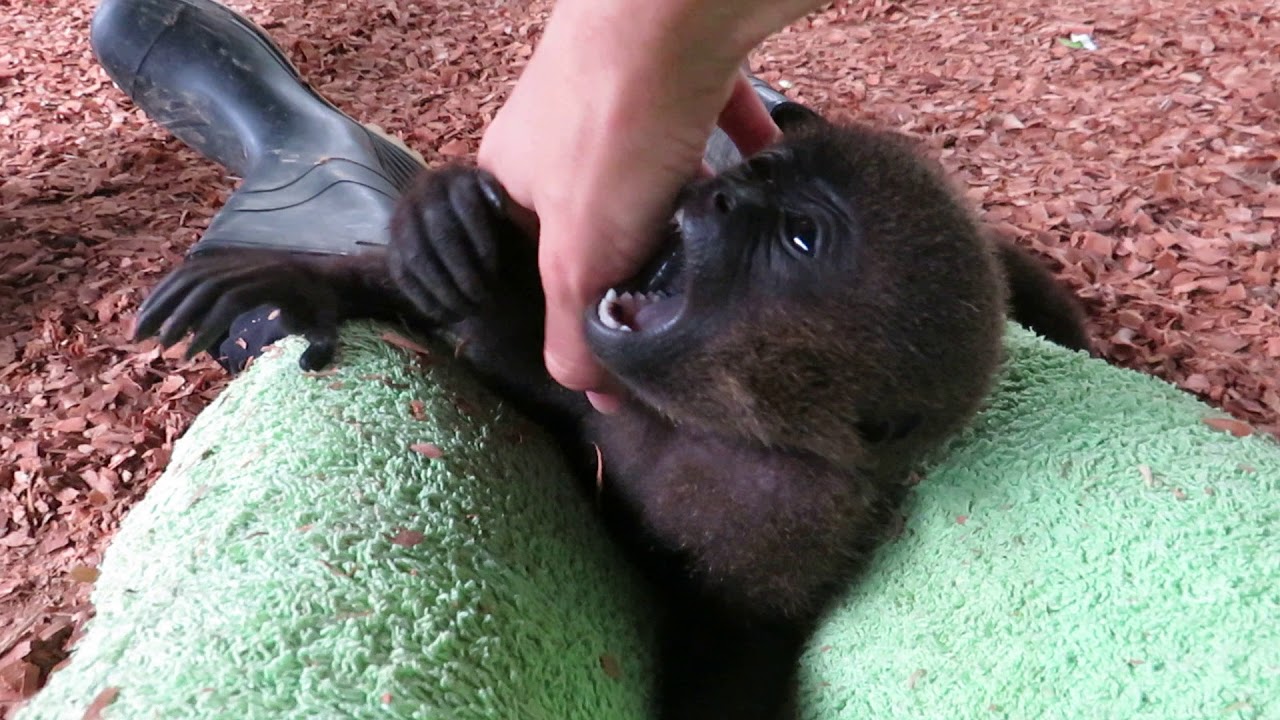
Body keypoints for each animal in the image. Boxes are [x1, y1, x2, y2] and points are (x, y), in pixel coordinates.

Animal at [133, 104, 1091, 719]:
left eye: (801, 238)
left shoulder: (785, 514)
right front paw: (422, 235)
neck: (711, 422)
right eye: (761, 173)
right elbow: (523, 358)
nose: (718, 194)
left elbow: (742, 638)